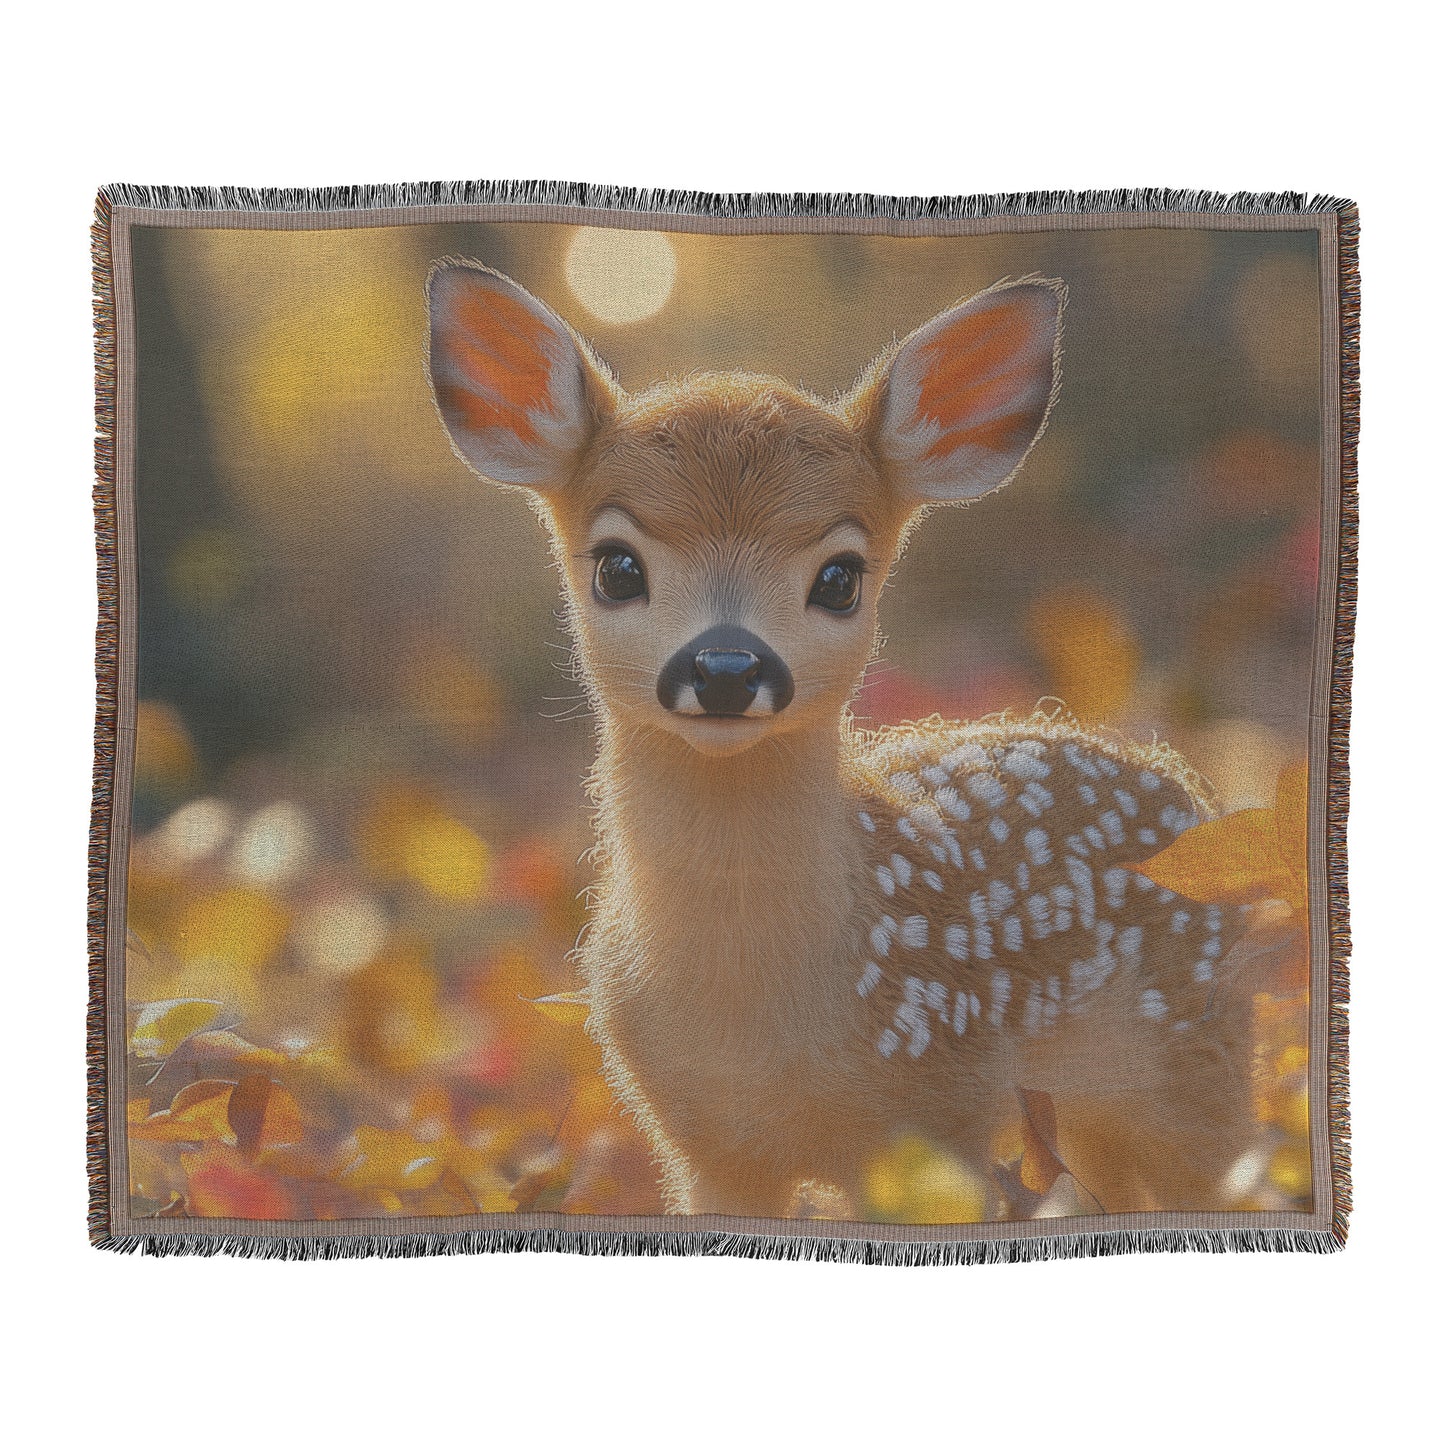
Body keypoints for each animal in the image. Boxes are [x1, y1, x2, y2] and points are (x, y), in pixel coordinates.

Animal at [424, 256, 1262, 1222]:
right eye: (617, 566)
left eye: (839, 577)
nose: (725, 665)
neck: (755, 1020)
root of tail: (1180, 782)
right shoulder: (703, 1142)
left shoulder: (942, 1100)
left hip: (1195, 1054)